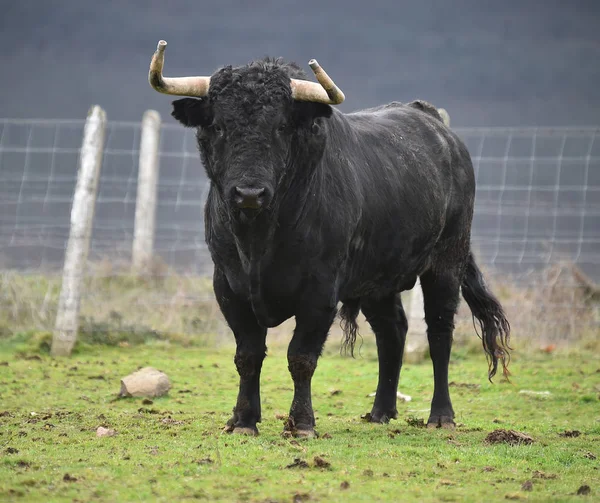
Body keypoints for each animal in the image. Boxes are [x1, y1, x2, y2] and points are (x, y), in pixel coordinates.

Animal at [169, 58, 510, 438]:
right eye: (218, 125)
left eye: (281, 126)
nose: (249, 193)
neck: (259, 239)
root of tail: (440, 129)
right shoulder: (229, 287)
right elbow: (248, 355)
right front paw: (243, 421)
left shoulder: (319, 291)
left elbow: (301, 357)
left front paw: (302, 424)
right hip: (378, 280)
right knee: (392, 331)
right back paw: (380, 411)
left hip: (447, 261)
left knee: (439, 331)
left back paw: (440, 415)